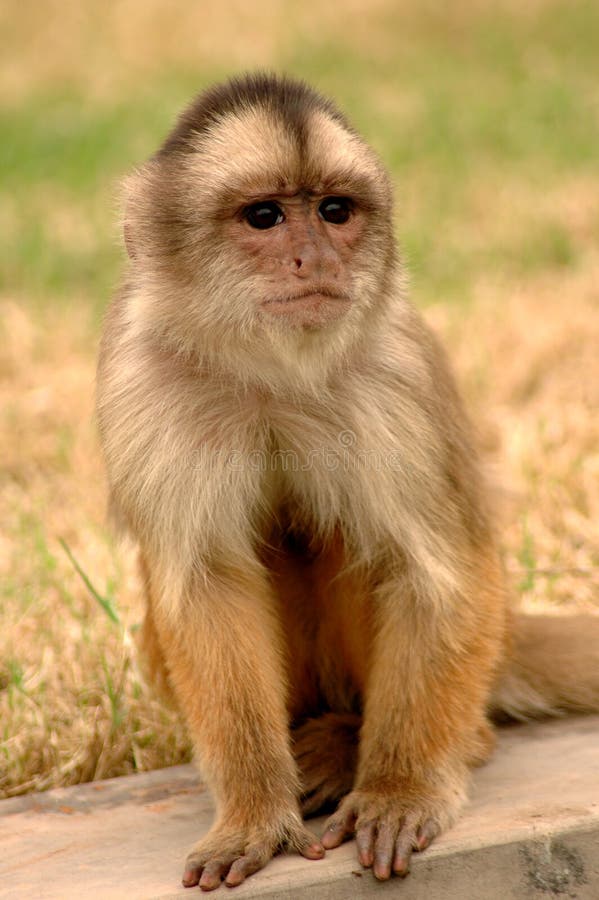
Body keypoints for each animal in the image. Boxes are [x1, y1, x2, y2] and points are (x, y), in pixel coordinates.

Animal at [96, 74, 599, 891]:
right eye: (265, 216)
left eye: (335, 211)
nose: (316, 260)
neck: (269, 368)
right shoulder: (142, 375)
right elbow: (207, 585)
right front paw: (252, 813)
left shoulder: (396, 371)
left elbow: (431, 573)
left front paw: (399, 789)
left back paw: (370, 743)